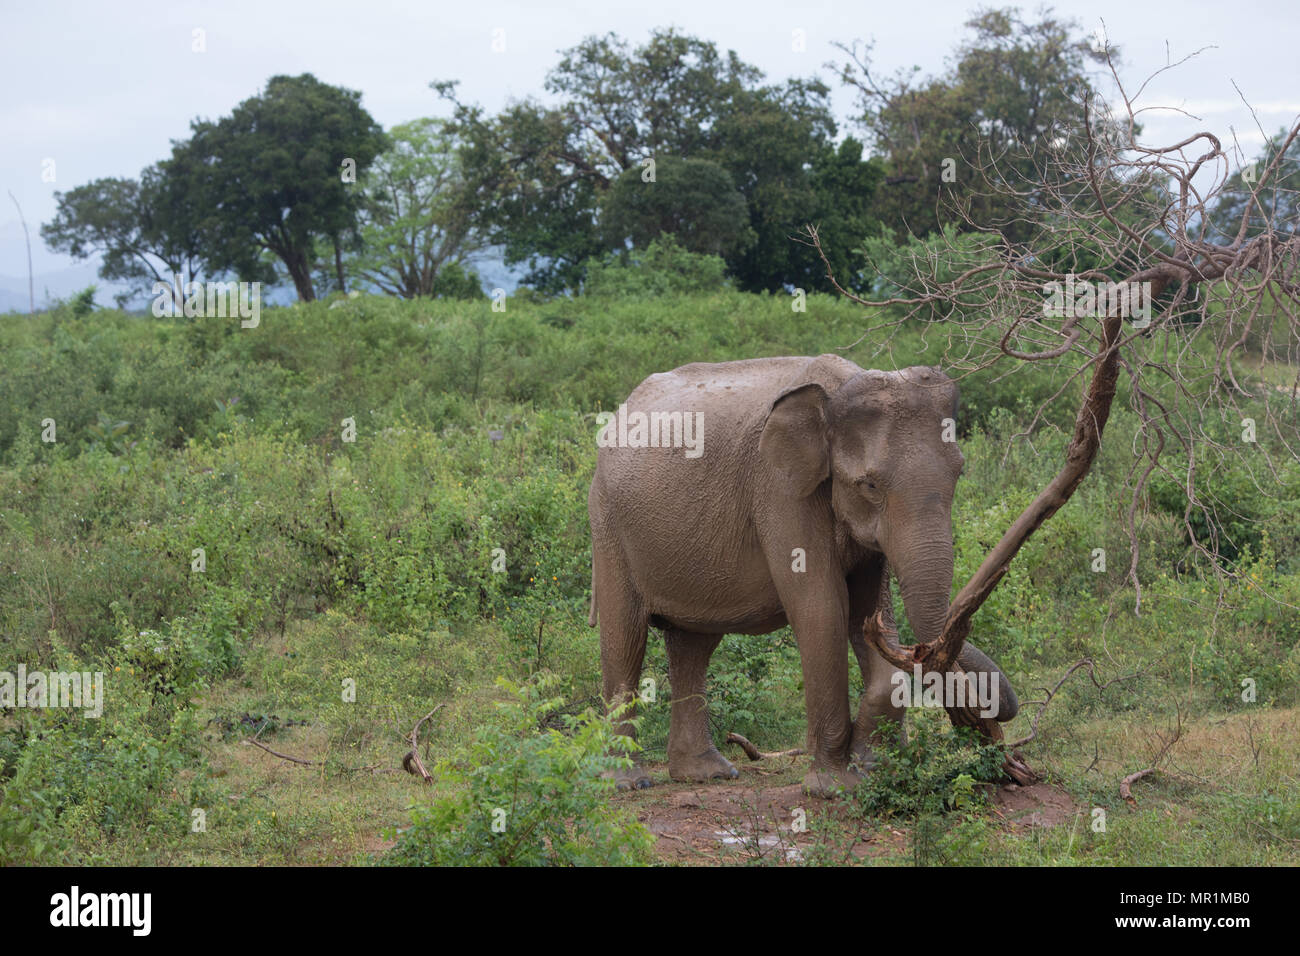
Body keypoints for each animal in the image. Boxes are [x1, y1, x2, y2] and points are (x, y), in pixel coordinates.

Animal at [587, 353, 1019, 796]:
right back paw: (626, 782)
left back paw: (707, 773)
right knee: (625, 639)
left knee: (693, 646)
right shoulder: (779, 489)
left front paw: (872, 765)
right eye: (869, 485)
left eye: (960, 473)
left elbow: (870, 614)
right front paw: (833, 786)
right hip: (606, 524)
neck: (837, 392)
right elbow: (822, 609)